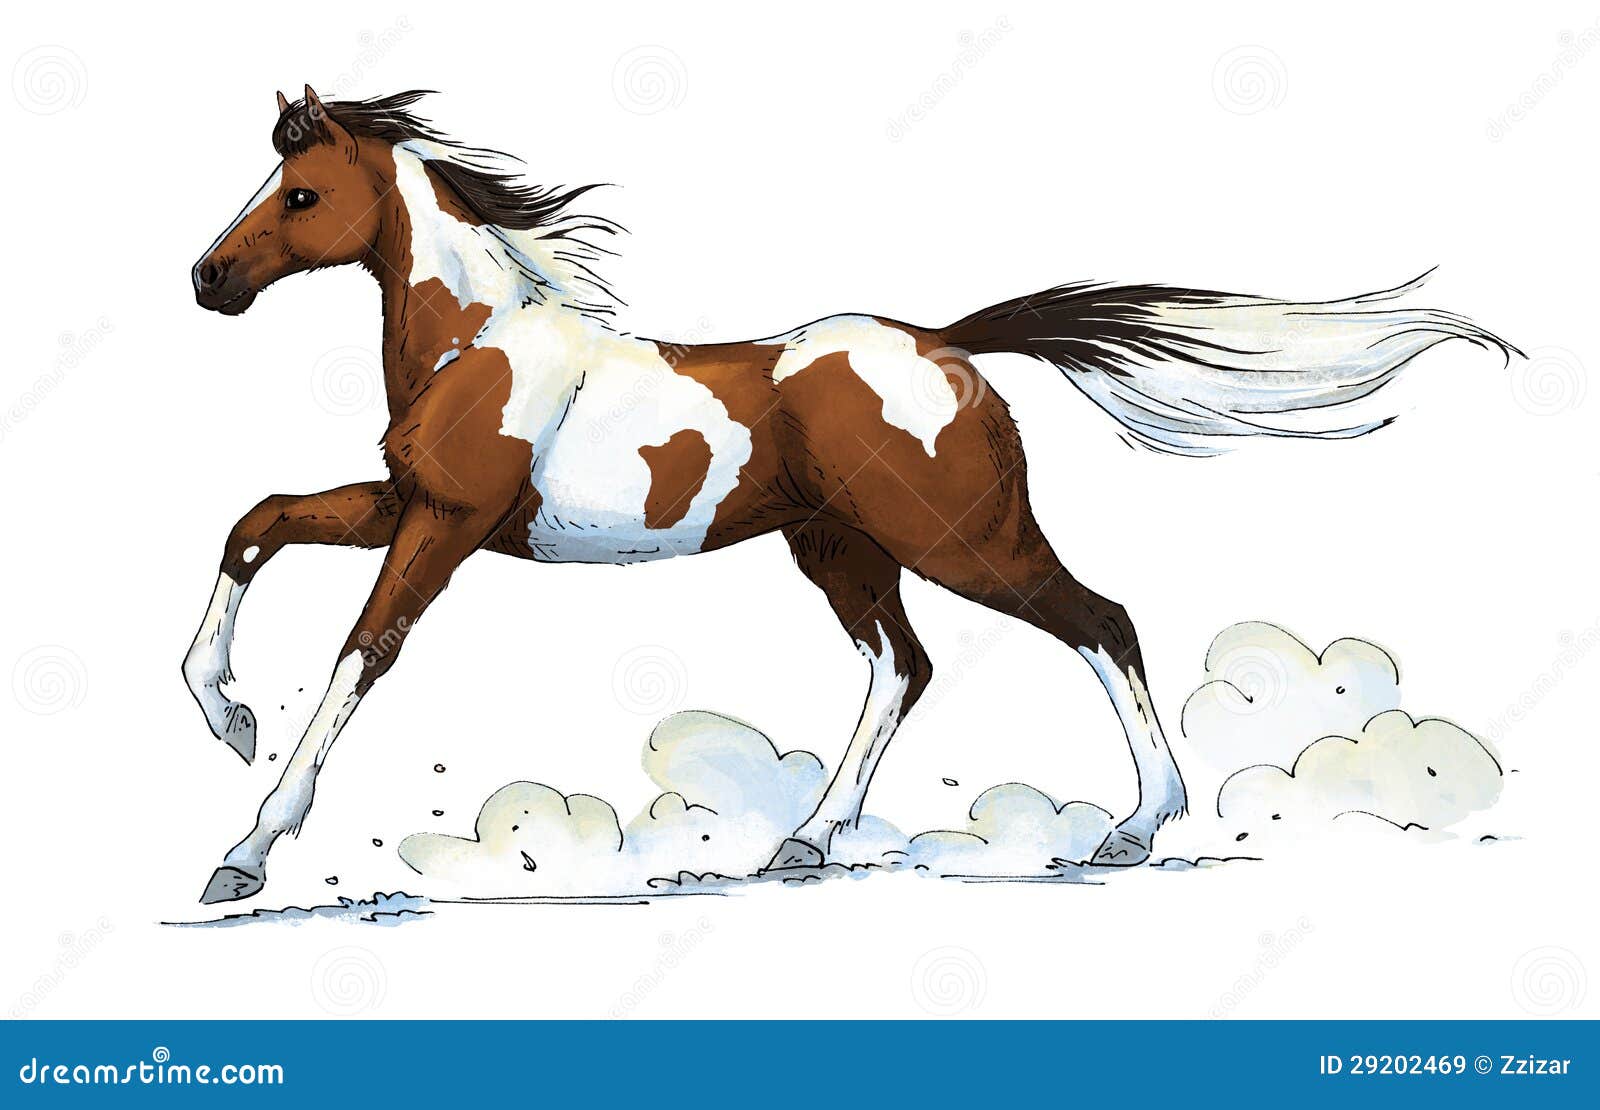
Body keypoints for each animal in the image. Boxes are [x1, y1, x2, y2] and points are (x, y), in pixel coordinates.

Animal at [186, 87, 1518, 904]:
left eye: (299, 195)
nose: (207, 279)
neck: (477, 345)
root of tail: (948, 345)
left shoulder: (447, 527)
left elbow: (361, 654)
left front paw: (245, 850)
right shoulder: (405, 504)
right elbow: (256, 525)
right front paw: (226, 716)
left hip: (959, 538)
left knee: (1100, 622)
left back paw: (1137, 827)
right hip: (842, 550)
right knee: (904, 667)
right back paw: (805, 841)